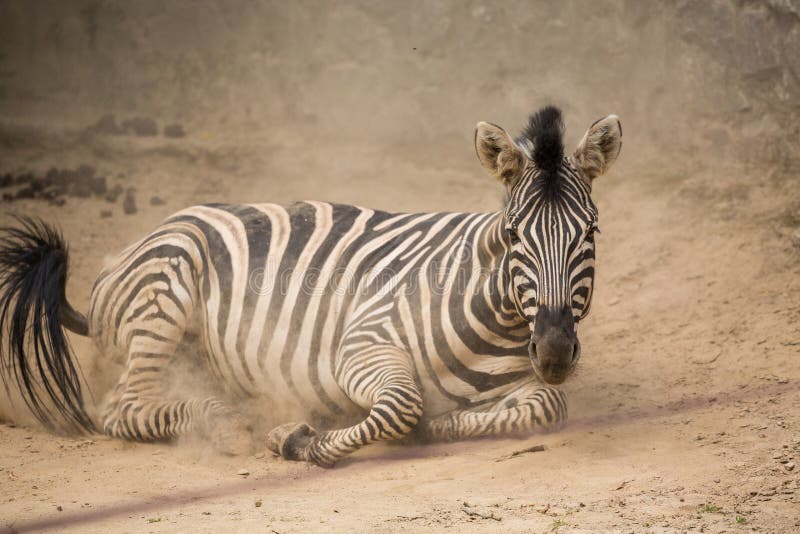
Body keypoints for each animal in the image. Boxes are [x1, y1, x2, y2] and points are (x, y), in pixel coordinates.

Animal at [0, 106, 621, 466]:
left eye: (590, 232)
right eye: (514, 235)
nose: (556, 350)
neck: (493, 311)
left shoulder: (528, 383)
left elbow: (546, 406)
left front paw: (438, 425)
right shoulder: (362, 343)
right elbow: (402, 405)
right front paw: (301, 442)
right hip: (167, 282)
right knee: (122, 407)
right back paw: (224, 422)